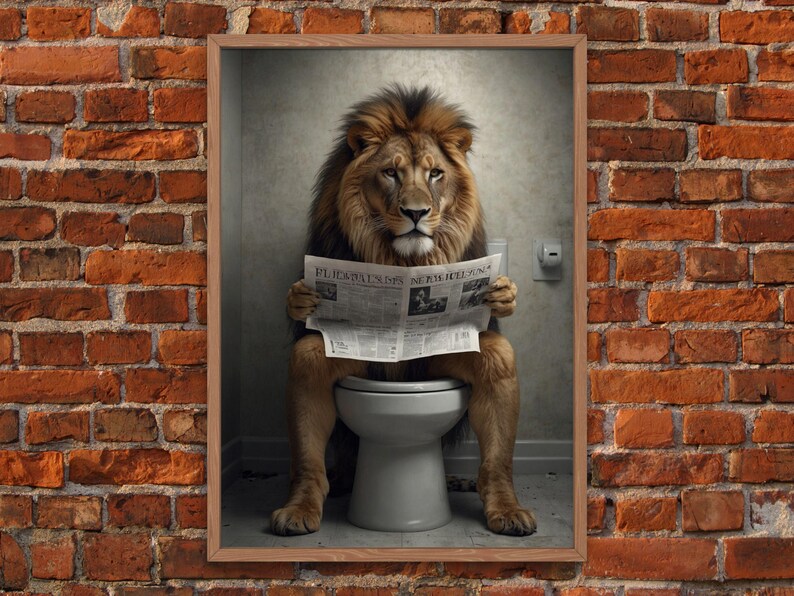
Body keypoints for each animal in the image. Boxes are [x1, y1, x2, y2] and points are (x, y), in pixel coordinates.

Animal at [271, 85, 536, 537]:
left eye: (435, 174)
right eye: (391, 173)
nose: (416, 213)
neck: (402, 263)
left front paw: (503, 294)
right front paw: (301, 297)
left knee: (497, 385)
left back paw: (499, 505)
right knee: (311, 416)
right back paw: (305, 505)